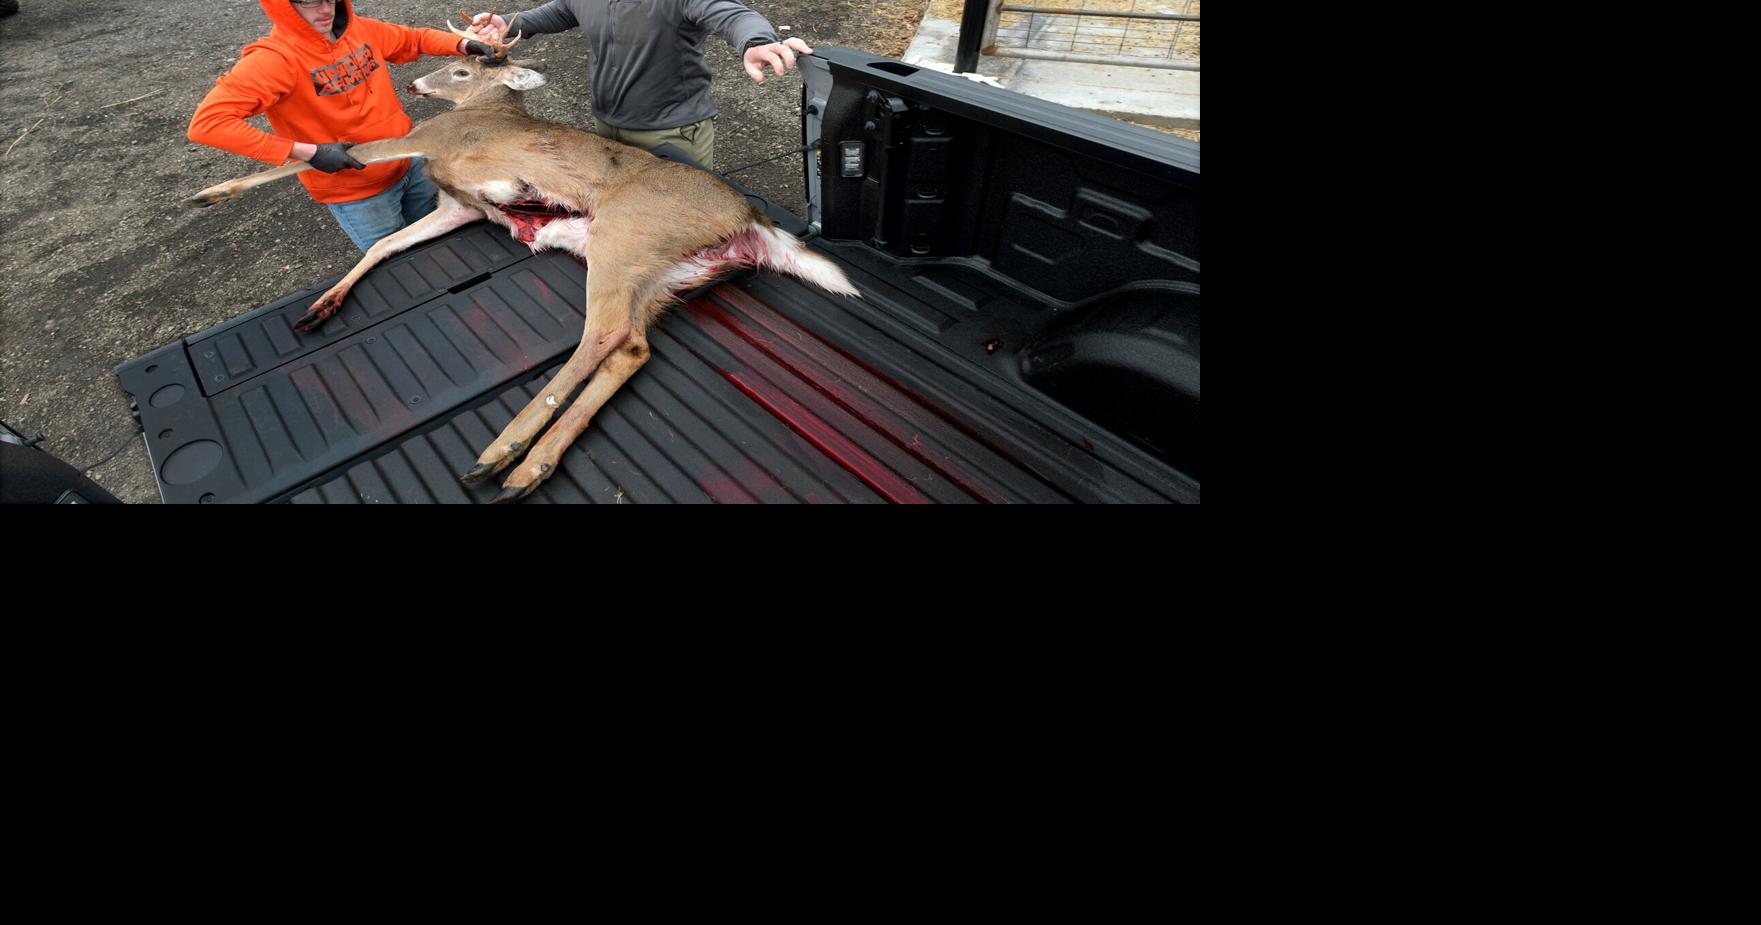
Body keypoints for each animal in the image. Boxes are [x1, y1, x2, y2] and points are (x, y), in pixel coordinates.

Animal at [182, 14, 859, 503]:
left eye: (459, 70)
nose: (414, 83)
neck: (484, 114)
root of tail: (749, 218)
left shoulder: (427, 141)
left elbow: (336, 152)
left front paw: (212, 193)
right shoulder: (460, 207)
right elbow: (383, 242)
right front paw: (322, 307)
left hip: (622, 240)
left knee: (601, 335)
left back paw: (500, 452)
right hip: (660, 276)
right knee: (632, 347)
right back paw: (531, 467)